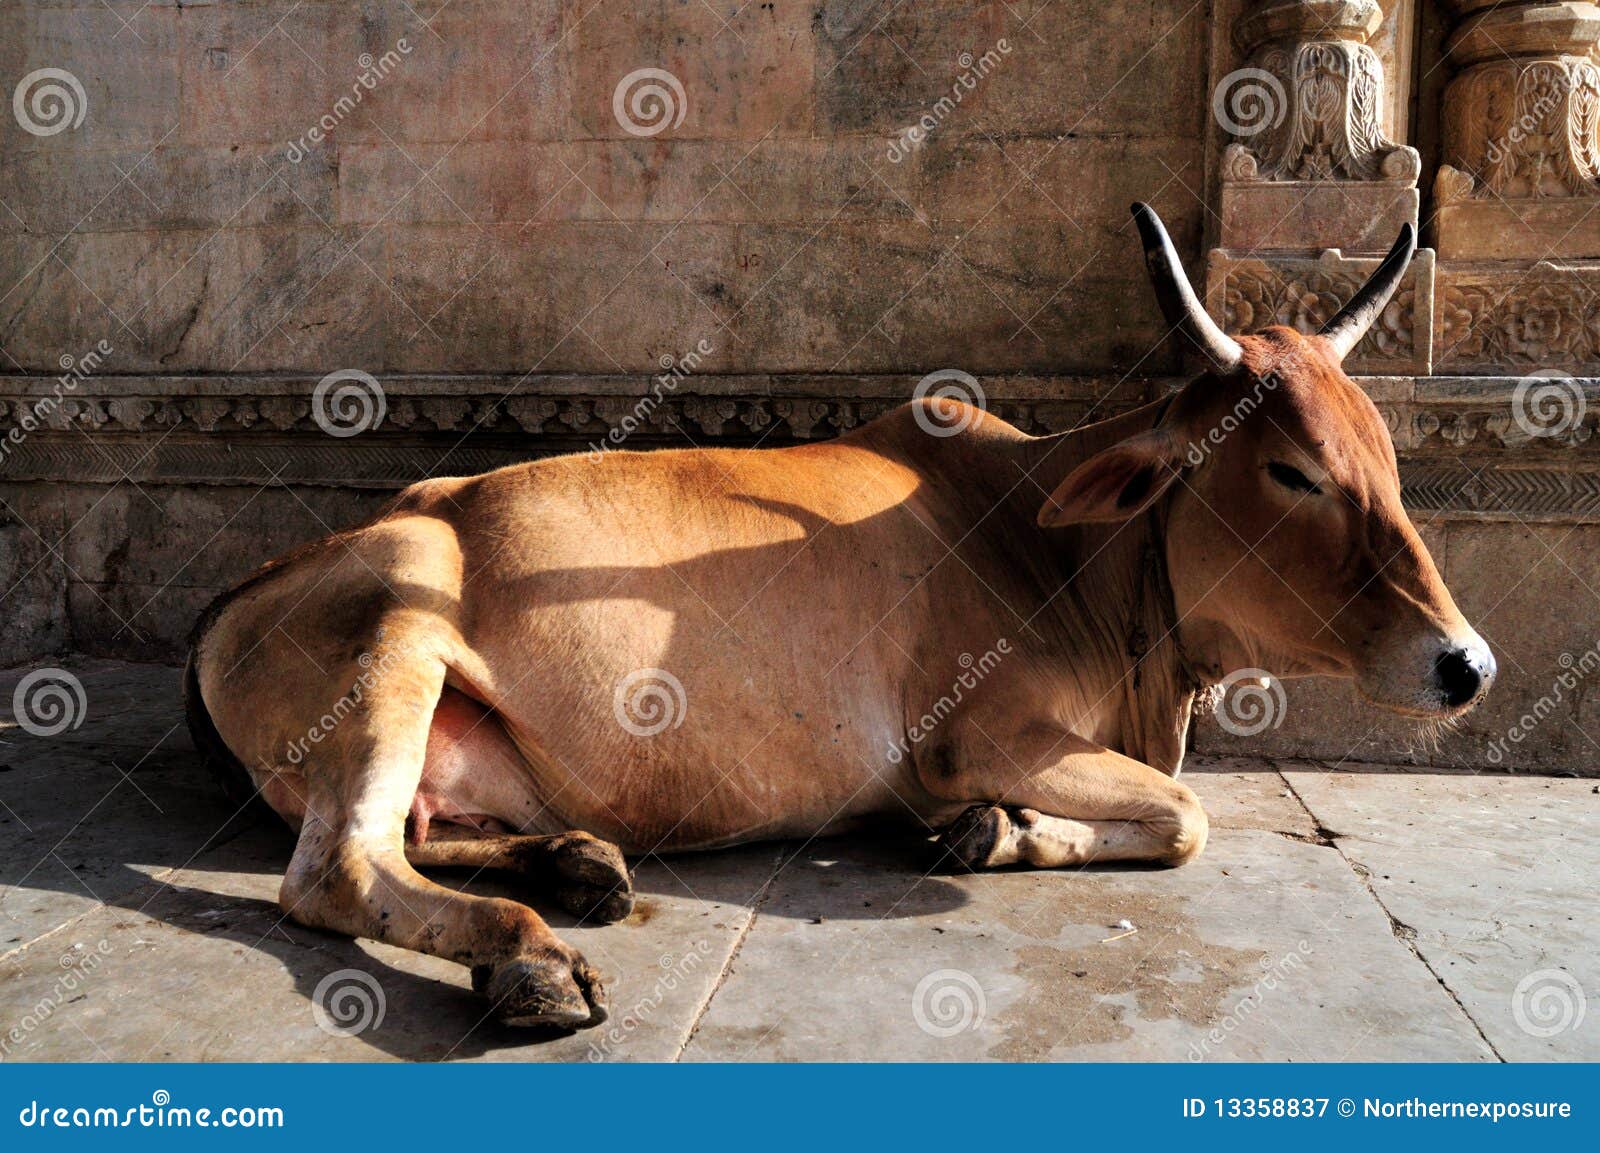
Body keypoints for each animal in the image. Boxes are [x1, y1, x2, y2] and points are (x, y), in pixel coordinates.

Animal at [185, 204, 1494, 1031]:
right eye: (1290, 471)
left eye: (1386, 456)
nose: (1463, 663)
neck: (1062, 549)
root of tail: (239, 594)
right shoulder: (972, 736)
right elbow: (1184, 817)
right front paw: (999, 830)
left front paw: (997, 833)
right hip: (398, 633)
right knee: (339, 870)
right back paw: (533, 959)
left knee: (416, 837)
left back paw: (579, 864)